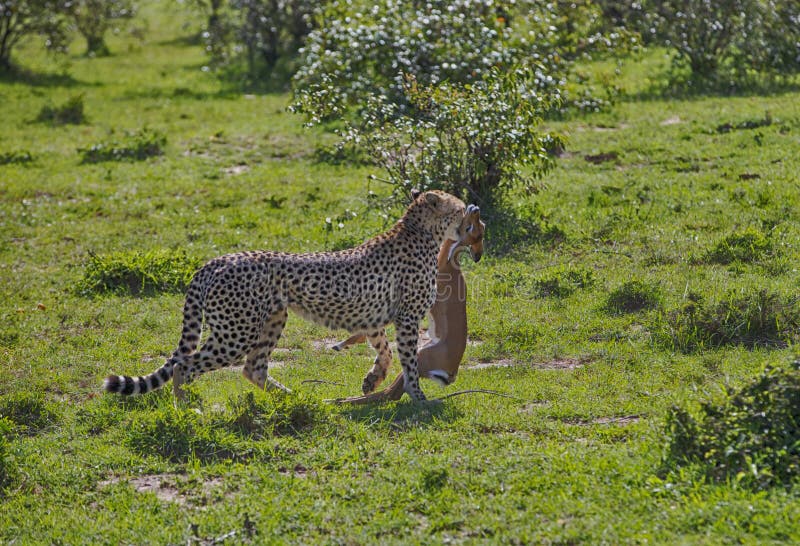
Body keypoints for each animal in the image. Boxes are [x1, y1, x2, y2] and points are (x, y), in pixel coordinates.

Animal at [103, 190, 470, 403]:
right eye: (459, 209)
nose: (471, 214)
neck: (420, 231)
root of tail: (218, 259)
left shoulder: (375, 315)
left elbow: (385, 351)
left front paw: (372, 380)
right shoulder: (406, 317)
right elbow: (409, 361)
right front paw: (419, 399)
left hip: (272, 319)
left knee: (253, 369)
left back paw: (292, 398)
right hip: (237, 331)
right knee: (186, 365)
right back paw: (189, 408)